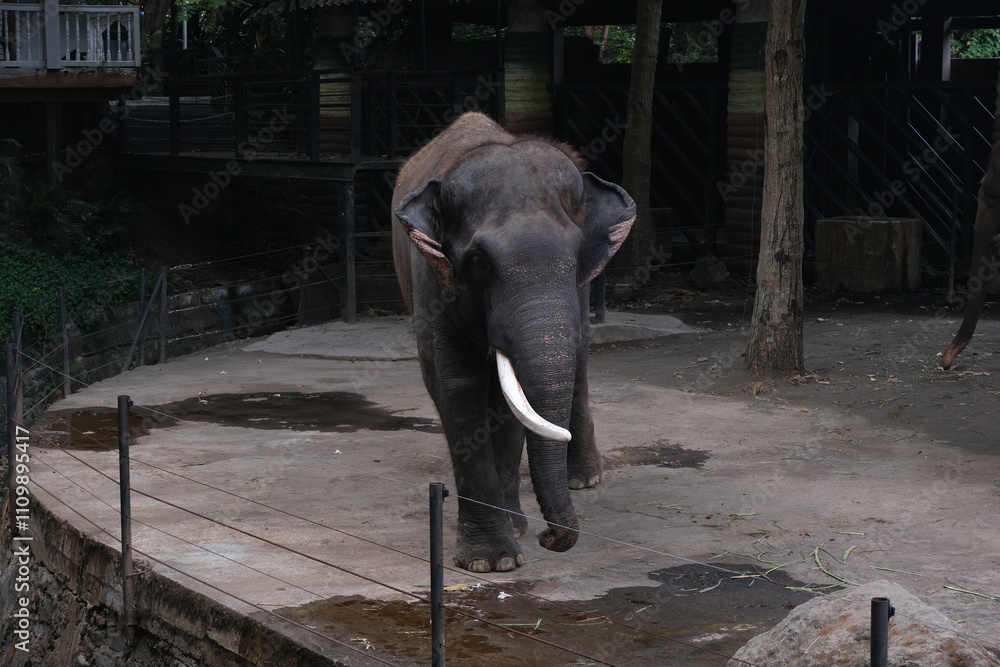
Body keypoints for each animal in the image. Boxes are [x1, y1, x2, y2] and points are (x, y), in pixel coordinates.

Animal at [392, 112, 635, 572]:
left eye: (576, 256)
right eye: (477, 261)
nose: (548, 536)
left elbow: (509, 404)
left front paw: (514, 536)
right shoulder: (433, 281)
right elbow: (458, 384)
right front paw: (492, 561)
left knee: (579, 360)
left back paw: (584, 479)